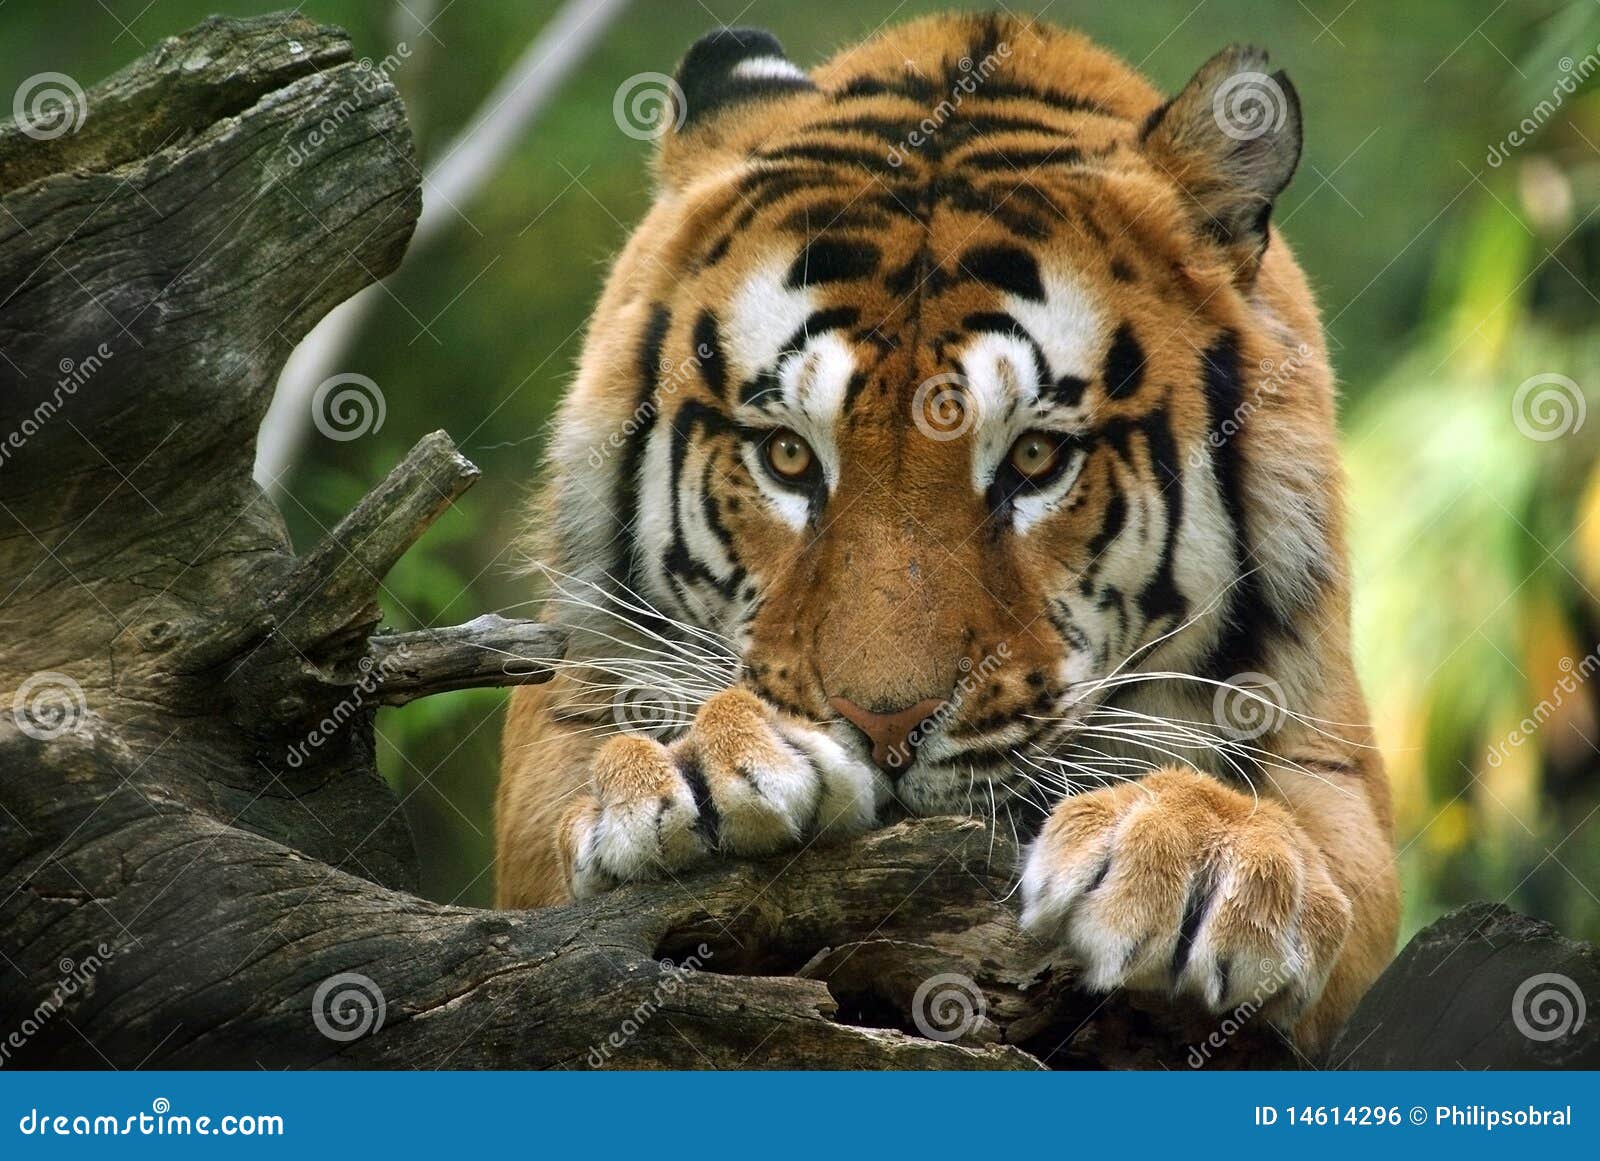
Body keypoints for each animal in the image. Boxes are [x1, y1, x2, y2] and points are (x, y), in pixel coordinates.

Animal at [495, 12, 1398, 1052]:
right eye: (788, 455)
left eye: (1037, 458)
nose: (883, 728)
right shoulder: (560, 712)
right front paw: (693, 779)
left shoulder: (1331, 756)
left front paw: (1198, 856)